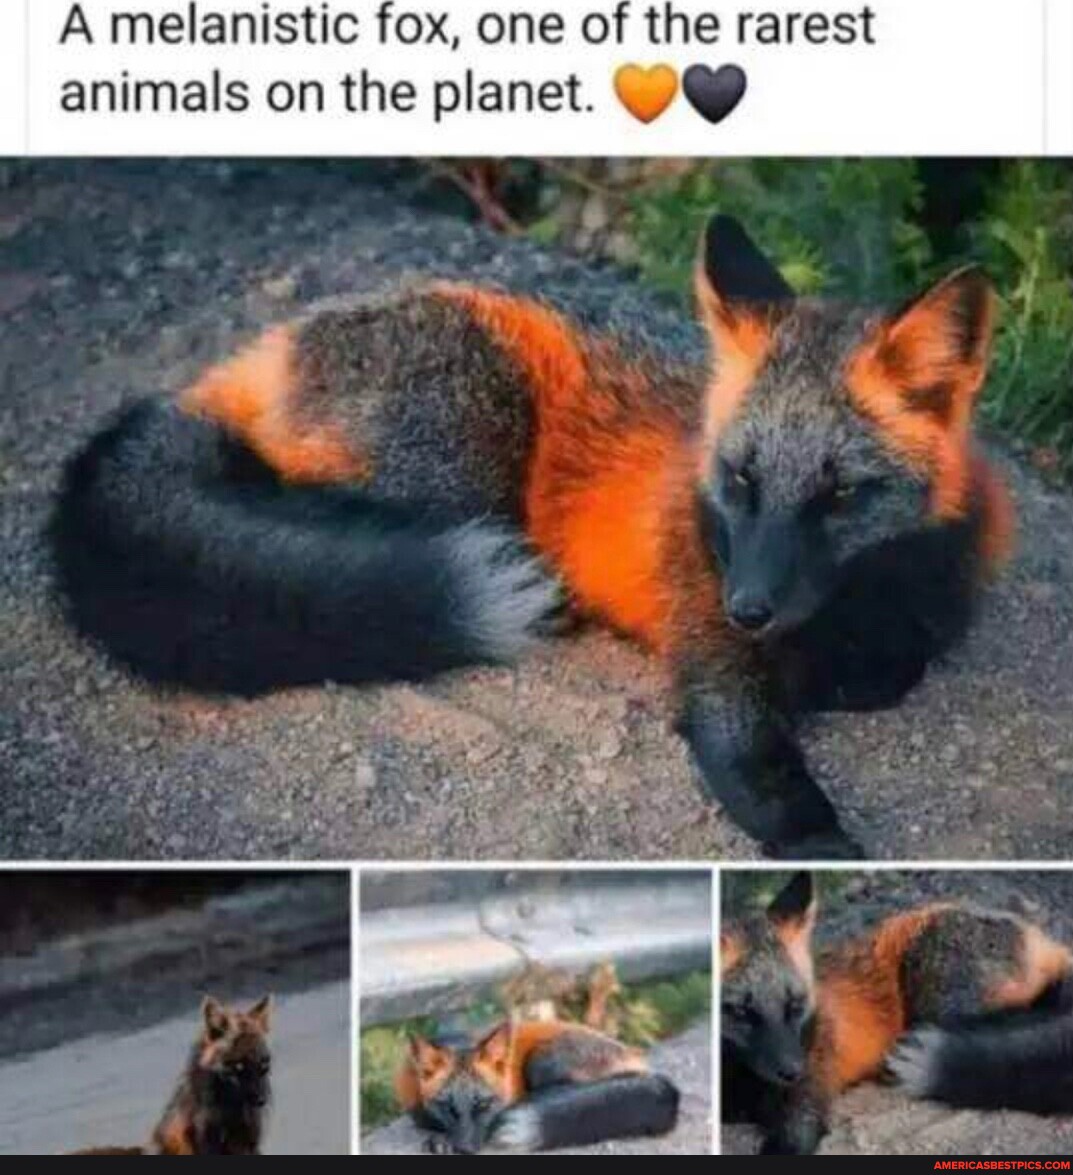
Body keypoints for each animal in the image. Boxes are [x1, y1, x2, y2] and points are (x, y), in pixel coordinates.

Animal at [51, 214, 1013, 859]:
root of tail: (269, 345)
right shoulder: (708, 648)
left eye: (839, 493)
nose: (748, 606)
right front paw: (818, 851)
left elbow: (894, 668)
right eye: (740, 479)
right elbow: (759, 767)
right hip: (466, 453)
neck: (860, 603)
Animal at [721, 875, 1073, 1154]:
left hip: (941, 998)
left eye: (795, 1005)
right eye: (741, 1011)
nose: (793, 1070)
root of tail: (1038, 937)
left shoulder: (808, 1099)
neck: (741, 1081)